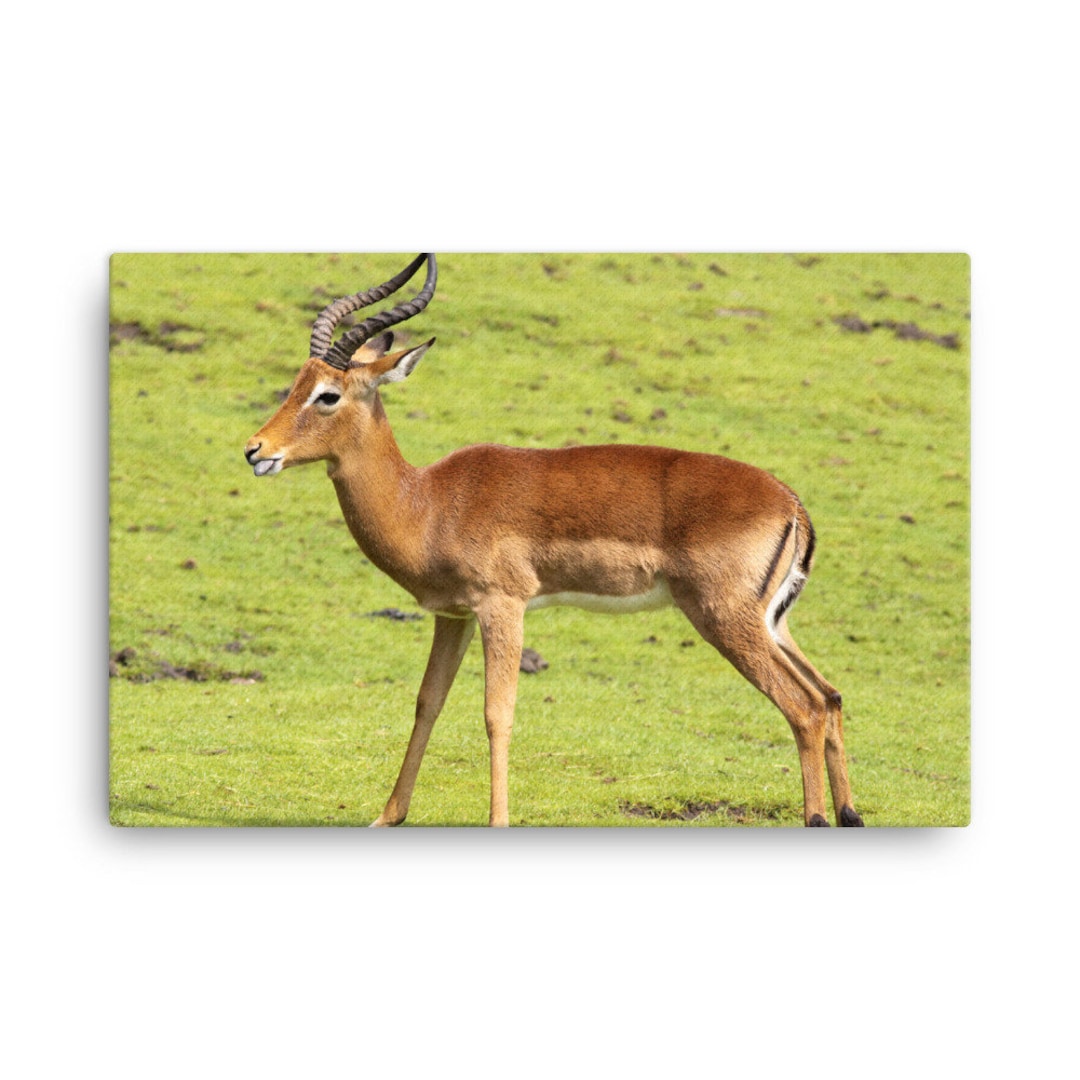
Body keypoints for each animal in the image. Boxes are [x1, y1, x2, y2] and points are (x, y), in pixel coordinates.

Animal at [245, 253, 864, 828]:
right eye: (297, 382)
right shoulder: (453, 615)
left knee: (804, 707)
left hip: (725, 618)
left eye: (327, 394)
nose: (256, 449)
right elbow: (427, 702)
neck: (429, 502)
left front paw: (496, 821)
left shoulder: (503, 606)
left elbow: (497, 714)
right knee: (830, 696)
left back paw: (816, 817)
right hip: (772, 623)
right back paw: (849, 814)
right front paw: (387, 816)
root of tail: (791, 504)